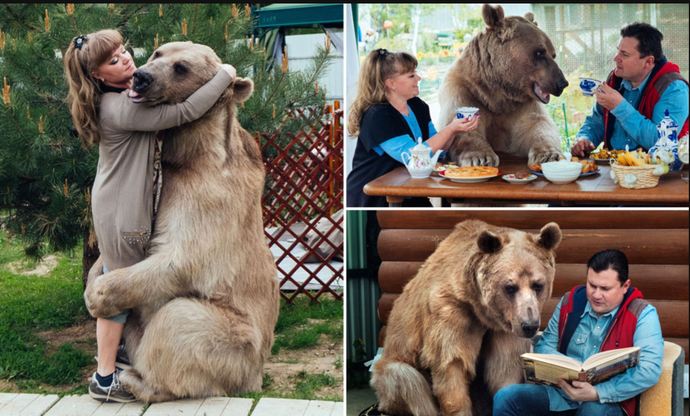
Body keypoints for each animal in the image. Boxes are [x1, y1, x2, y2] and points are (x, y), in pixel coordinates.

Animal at [371, 219, 562, 416]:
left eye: (538, 285)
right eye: (510, 287)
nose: (529, 325)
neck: (481, 311)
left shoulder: (505, 327)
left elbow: (504, 367)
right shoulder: (451, 313)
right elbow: (451, 363)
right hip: (394, 366)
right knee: (407, 381)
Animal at [438, 4, 569, 168]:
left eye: (553, 54)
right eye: (539, 52)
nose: (562, 83)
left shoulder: (521, 106)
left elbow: (538, 125)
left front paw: (549, 155)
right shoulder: (464, 91)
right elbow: (460, 125)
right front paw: (481, 157)